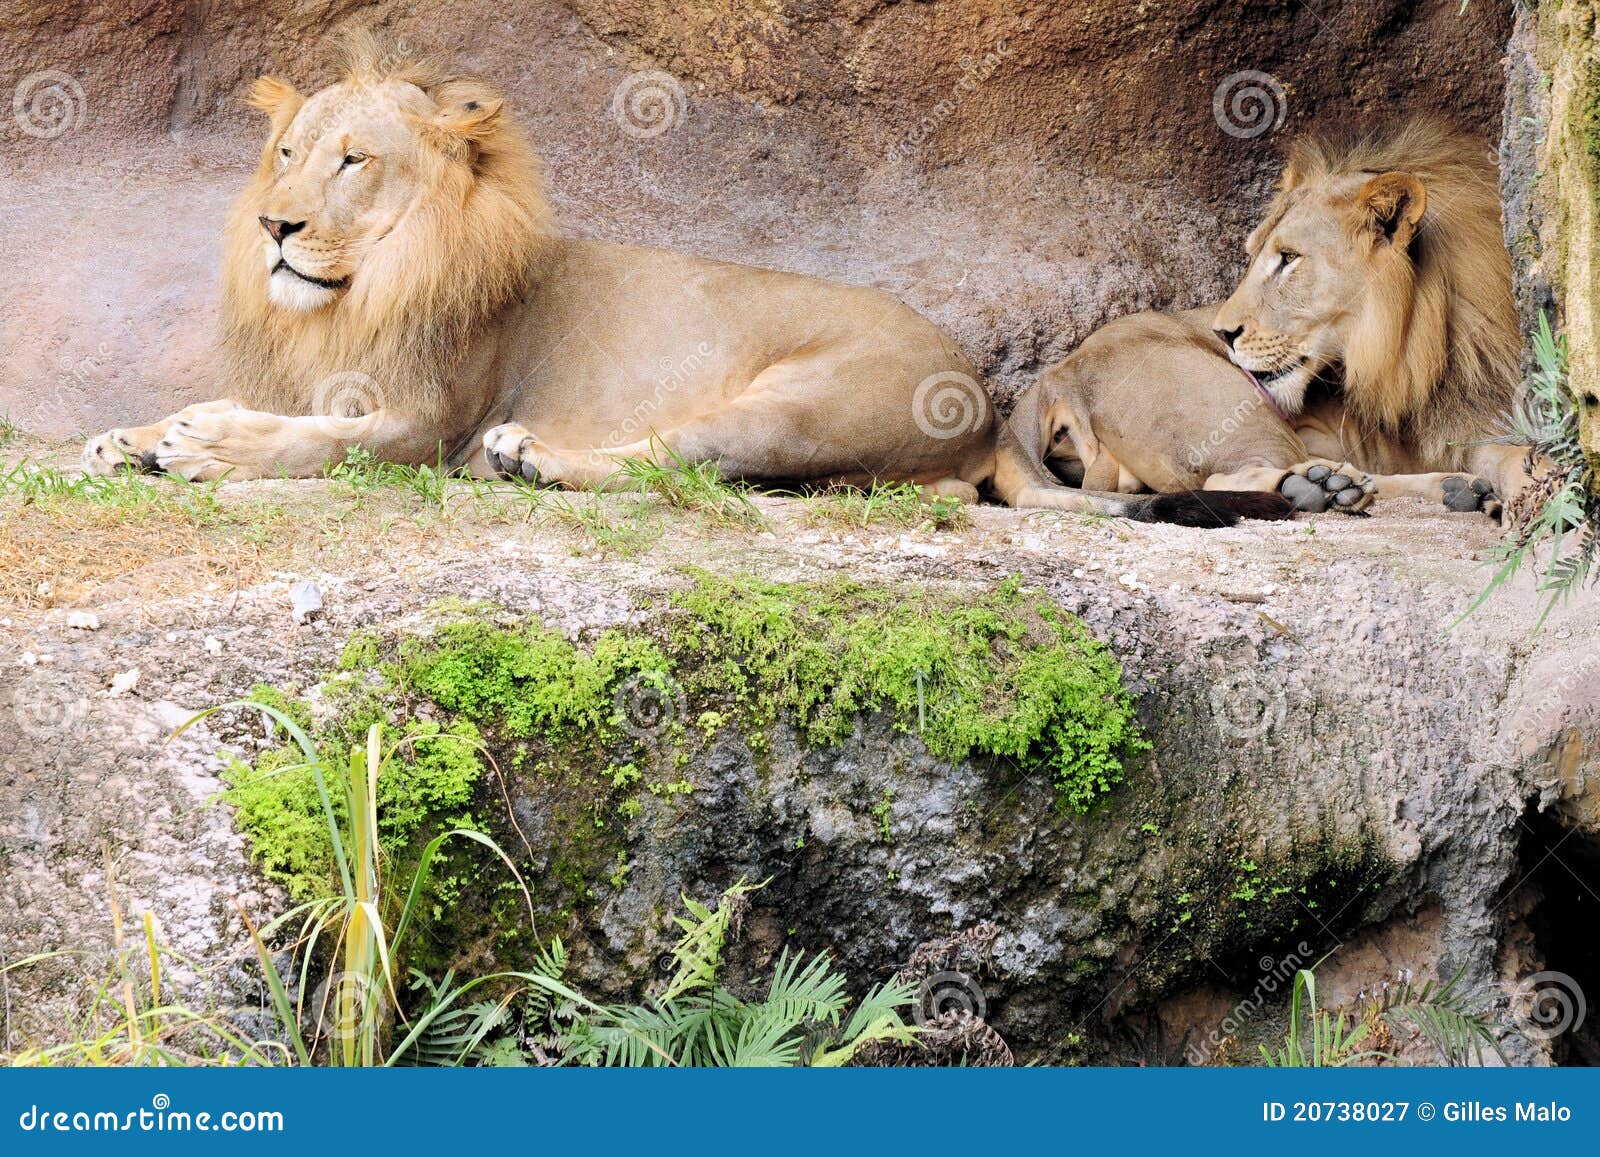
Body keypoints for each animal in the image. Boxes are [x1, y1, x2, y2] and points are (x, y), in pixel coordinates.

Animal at [81, 36, 1288, 529]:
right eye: (286, 154)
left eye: (352, 161)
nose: (274, 225)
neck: (357, 295)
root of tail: (988, 405)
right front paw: (123, 435)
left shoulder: (423, 422)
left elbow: (313, 441)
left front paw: (203, 442)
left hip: (793, 405)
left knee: (673, 463)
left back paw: (532, 459)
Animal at [1013, 120, 1529, 518]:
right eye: (1254, 254)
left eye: (1288, 258)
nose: (1222, 333)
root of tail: (1057, 374)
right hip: (1240, 414)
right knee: (1229, 478)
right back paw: (1320, 488)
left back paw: (1454, 490)